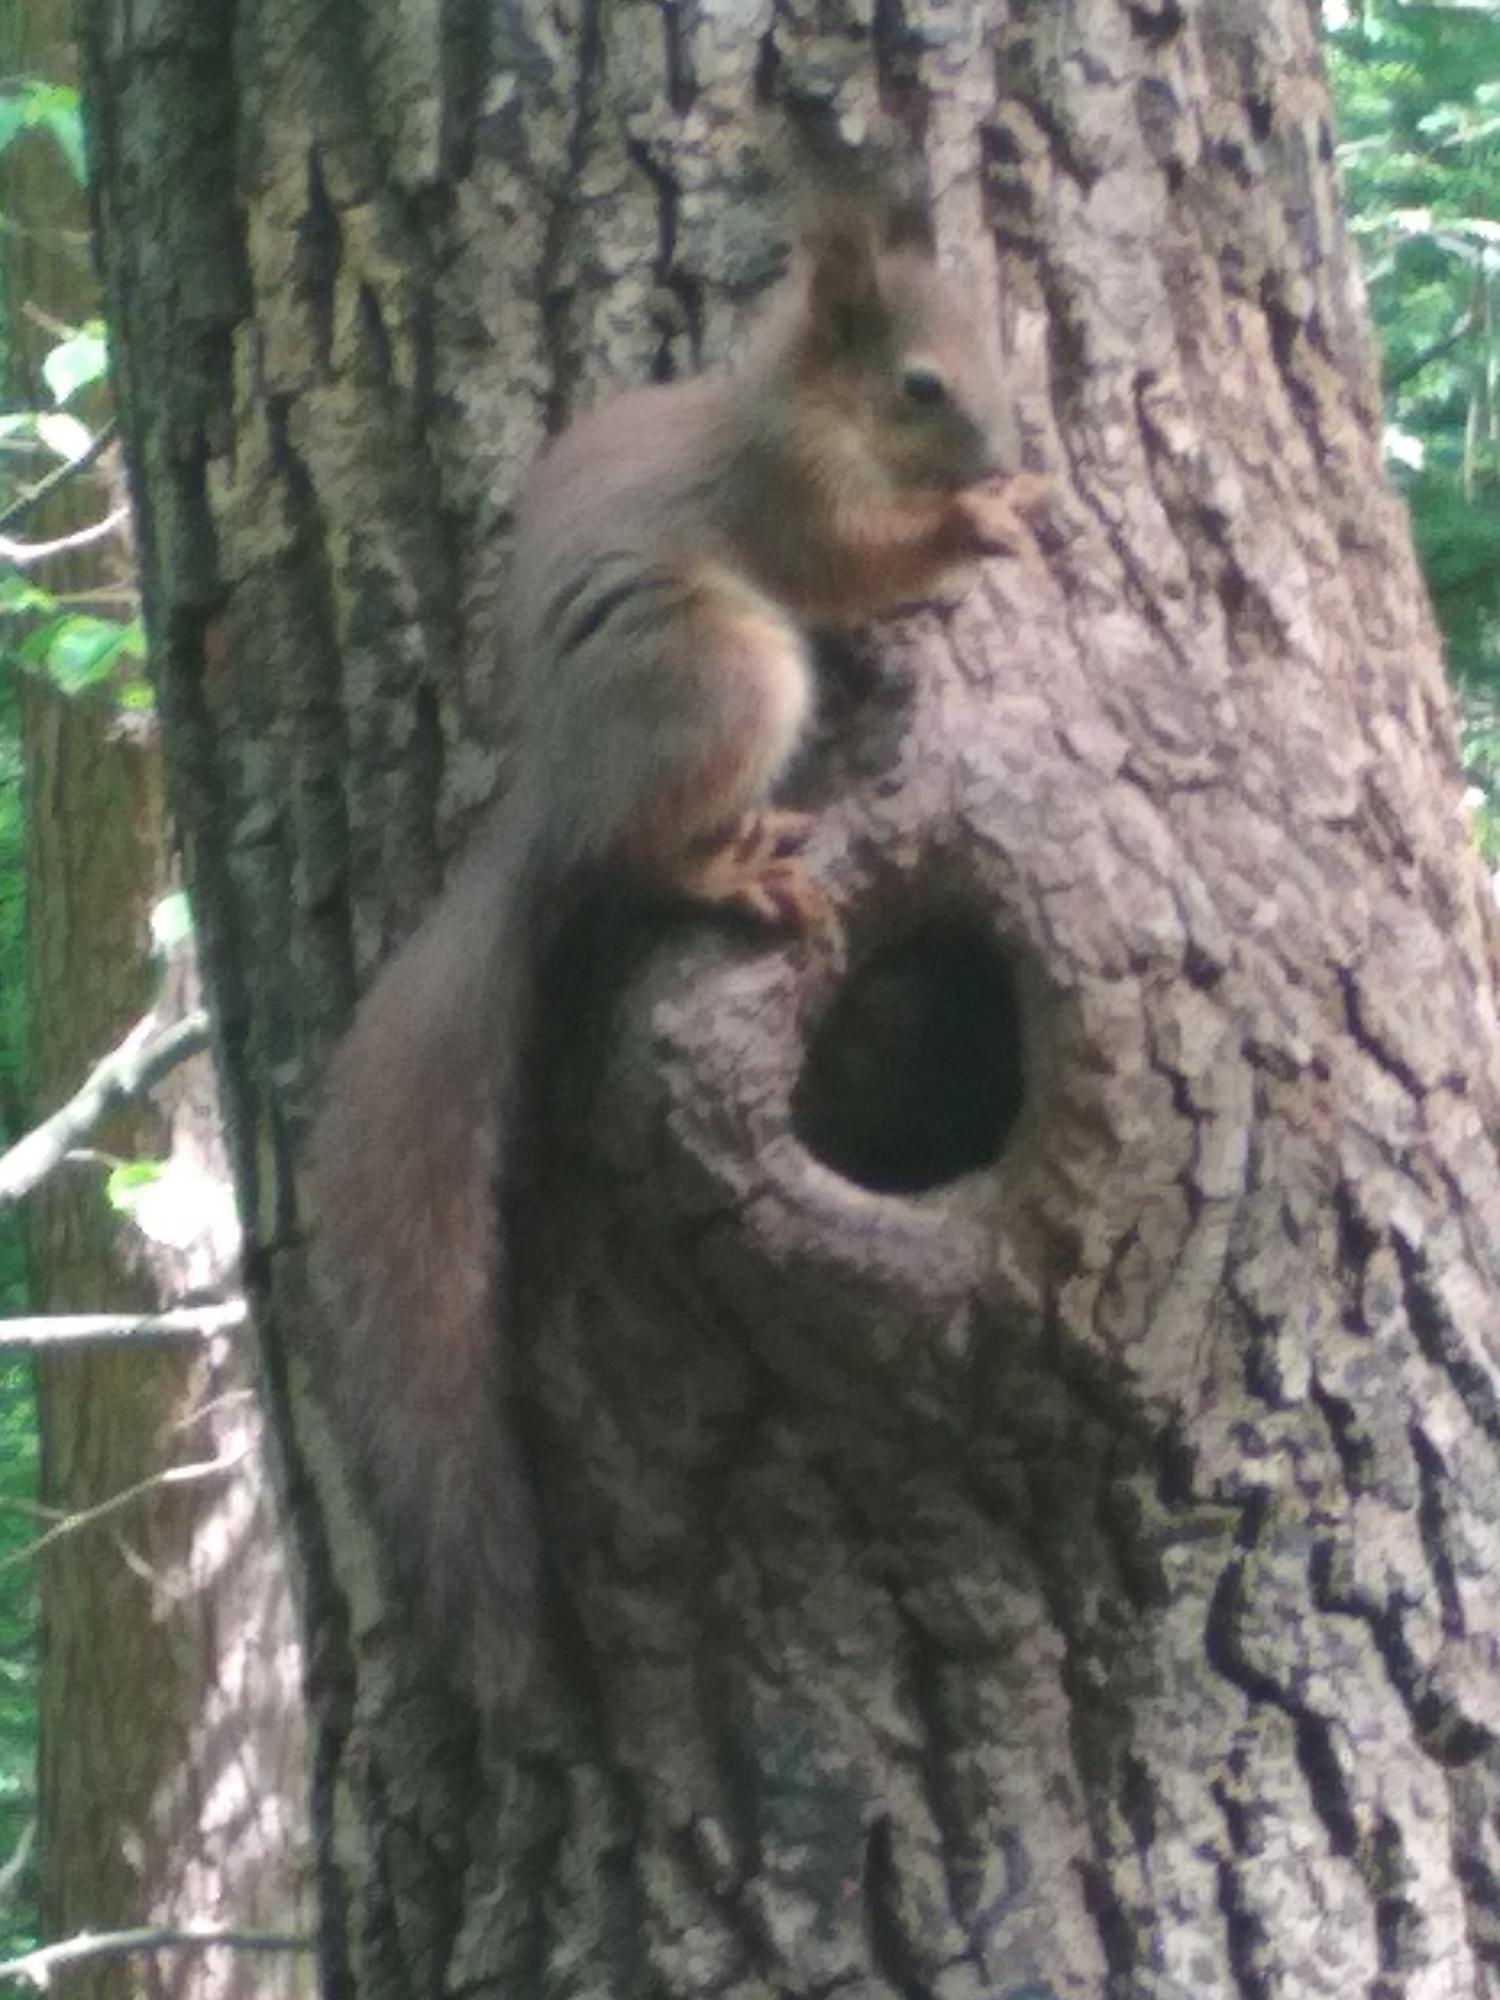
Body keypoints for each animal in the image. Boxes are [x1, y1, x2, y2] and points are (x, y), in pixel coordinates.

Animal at [300, 180, 1040, 1704]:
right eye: (920, 385)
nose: (1003, 448)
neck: (797, 400)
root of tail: (559, 795)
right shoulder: (790, 497)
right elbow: (856, 566)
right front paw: (980, 524)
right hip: (722, 670)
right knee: (643, 855)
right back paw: (733, 871)